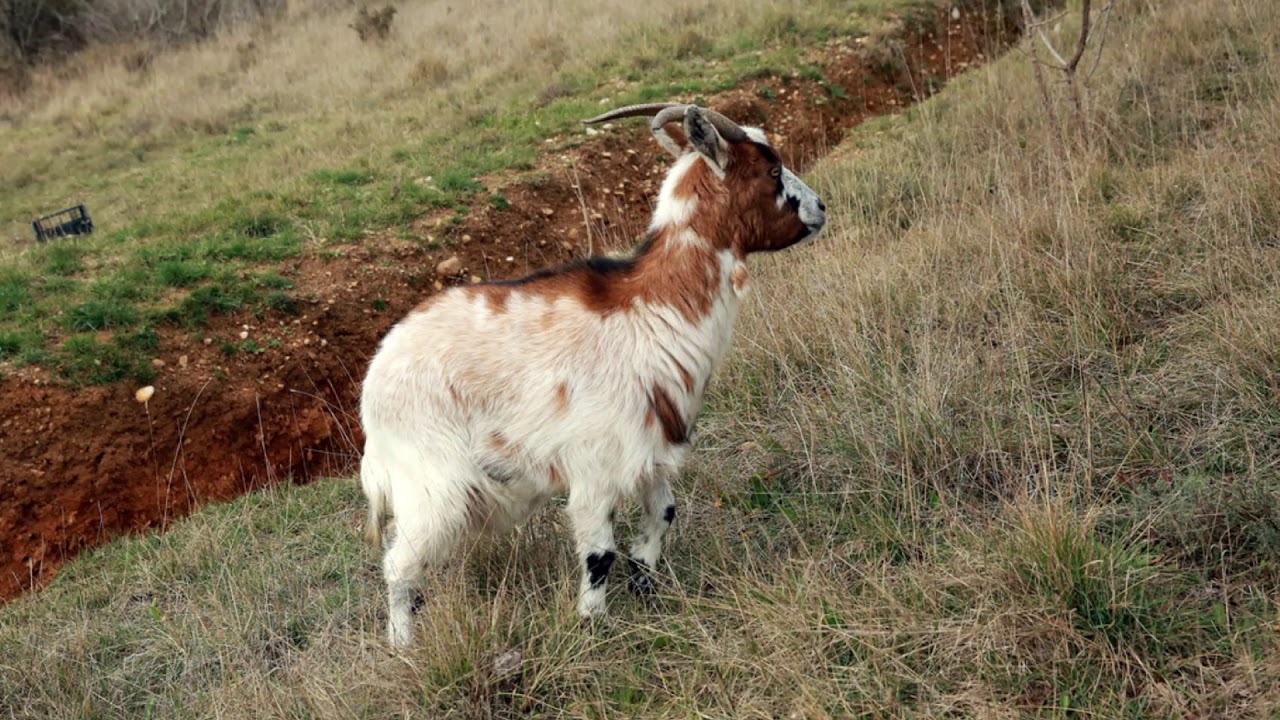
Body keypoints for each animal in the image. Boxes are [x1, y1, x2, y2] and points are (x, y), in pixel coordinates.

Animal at [359, 103, 826, 646]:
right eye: (771, 170)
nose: (820, 208)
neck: (653, 306)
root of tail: (375, 379)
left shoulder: (649, 449)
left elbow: (662, 514)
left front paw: (646, 585)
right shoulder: (597, 464)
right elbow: (599, 551)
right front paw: (592, 624)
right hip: (431, 484)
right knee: (399, 566)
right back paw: (403, 645)